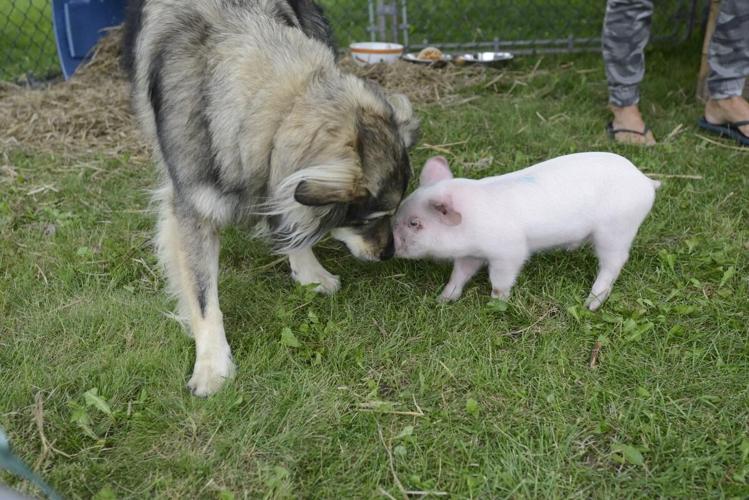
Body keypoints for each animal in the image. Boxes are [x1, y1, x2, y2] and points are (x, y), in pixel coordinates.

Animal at [393, 153, 660, 310]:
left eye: (415, 223)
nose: (389, 245)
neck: (470, 224)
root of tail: (645, 181)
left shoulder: (509, 251)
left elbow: (500, 279)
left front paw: (496, 304)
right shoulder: (471, 253)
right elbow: (459, 273)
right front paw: (443, 299)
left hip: (617, 230)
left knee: (614, 263)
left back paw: (590, 304)